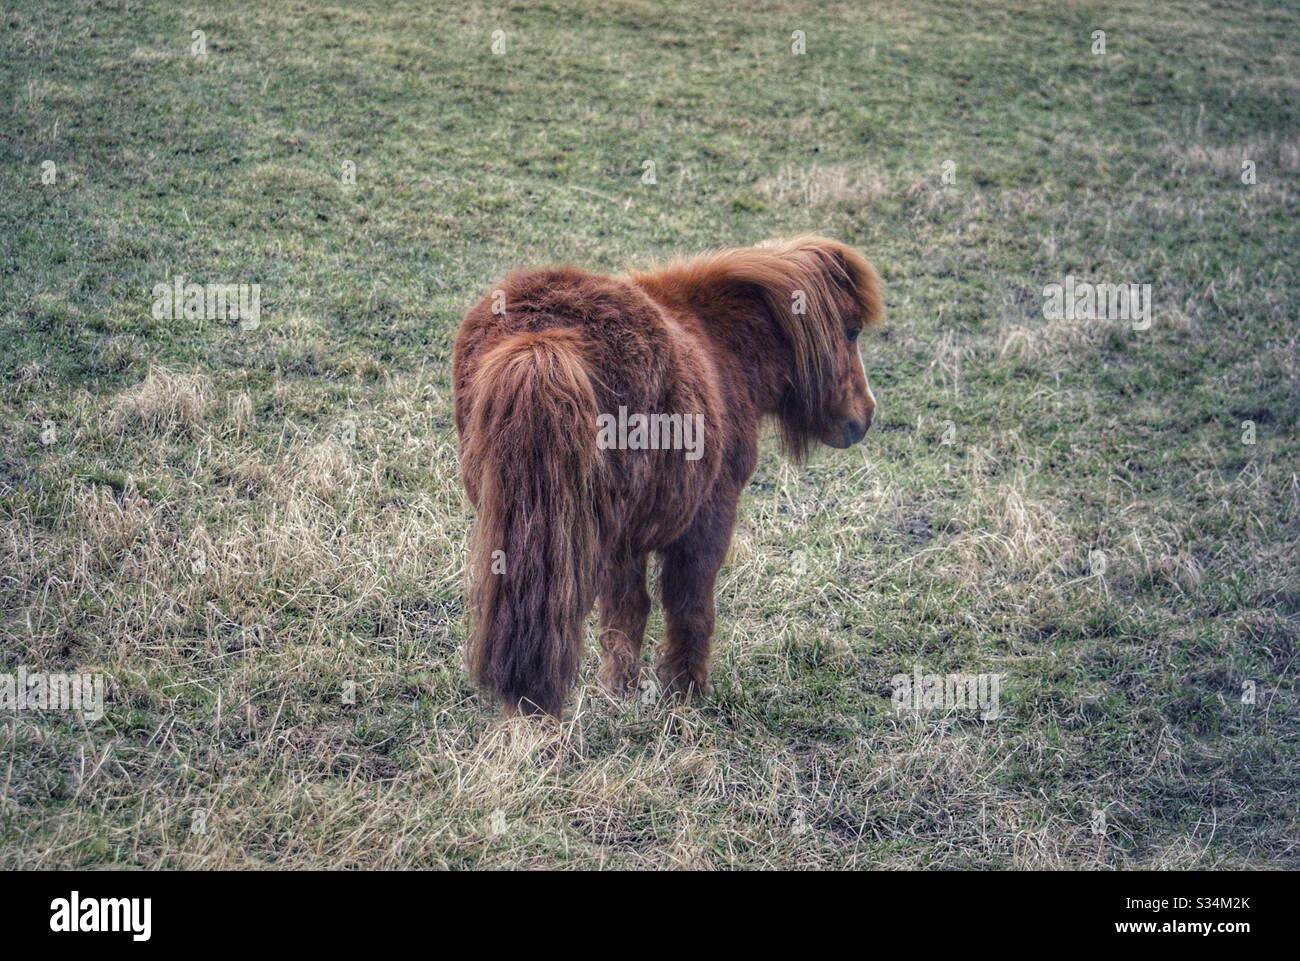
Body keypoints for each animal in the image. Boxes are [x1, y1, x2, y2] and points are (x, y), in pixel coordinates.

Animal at [453, 236, 883, 718]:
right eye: (851, 330)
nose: (864, 416)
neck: (719, 345)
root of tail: (540, 342)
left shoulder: (626, 543)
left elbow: (625, 614)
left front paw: (620, 691)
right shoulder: (708, 520)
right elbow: (690, 608)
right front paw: (686, 691)